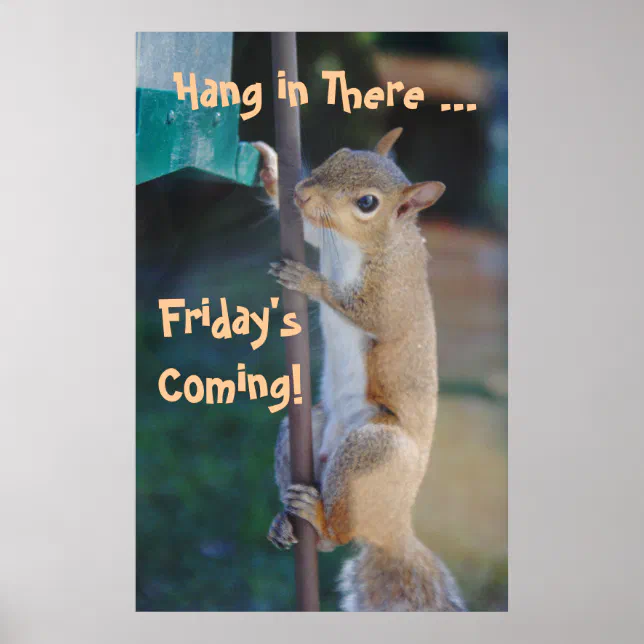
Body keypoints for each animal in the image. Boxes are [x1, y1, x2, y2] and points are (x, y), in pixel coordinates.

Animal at [252, 129, 466, 612]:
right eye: (340, 154)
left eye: (367, 203)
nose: (302, 192)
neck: (361, 243)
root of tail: (394, 525)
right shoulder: (322, 231)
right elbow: (310, 229)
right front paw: (271, 169)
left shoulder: (391, 294)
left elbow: (362, 310)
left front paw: (310, 281)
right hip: (309, 428)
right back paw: (285, 521)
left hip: (373, 449)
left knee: (339, 534)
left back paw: (317, 518)